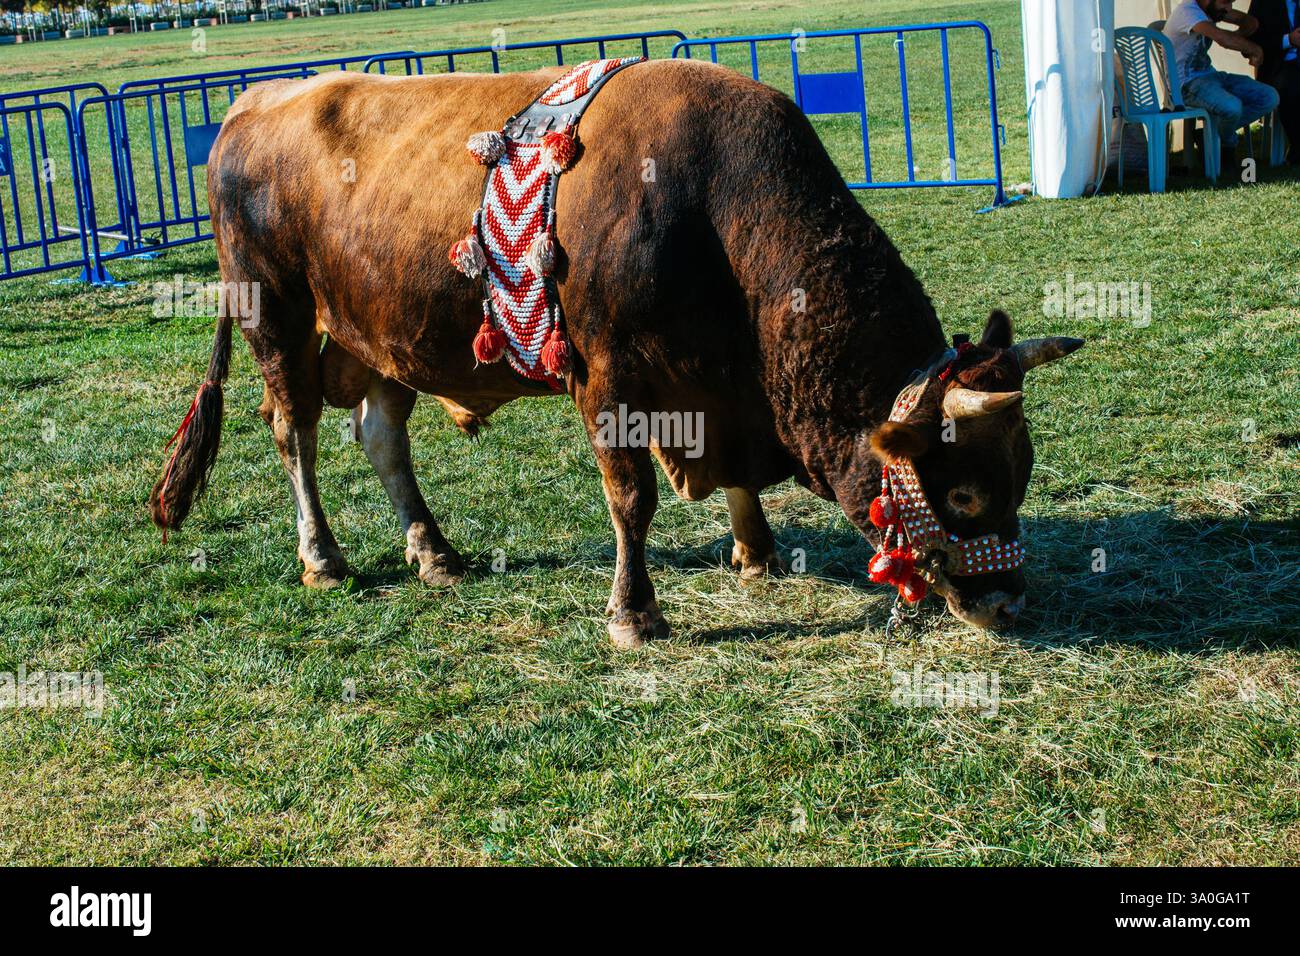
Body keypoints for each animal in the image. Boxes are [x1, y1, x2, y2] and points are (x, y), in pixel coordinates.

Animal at [148, 60, 1083, 648]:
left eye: (1023, 475)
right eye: (960, 493)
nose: (1009, 604)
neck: (712, 210)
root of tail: (254, 101)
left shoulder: (719, 391)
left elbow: (735, 480)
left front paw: (755, 552)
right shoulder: (608, 379)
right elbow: (632, 501)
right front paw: (636, 613)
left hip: (381, 335)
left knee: (382, 437)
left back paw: (434, 551)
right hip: (275, 313)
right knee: (294, 432)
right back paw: (324, 557)